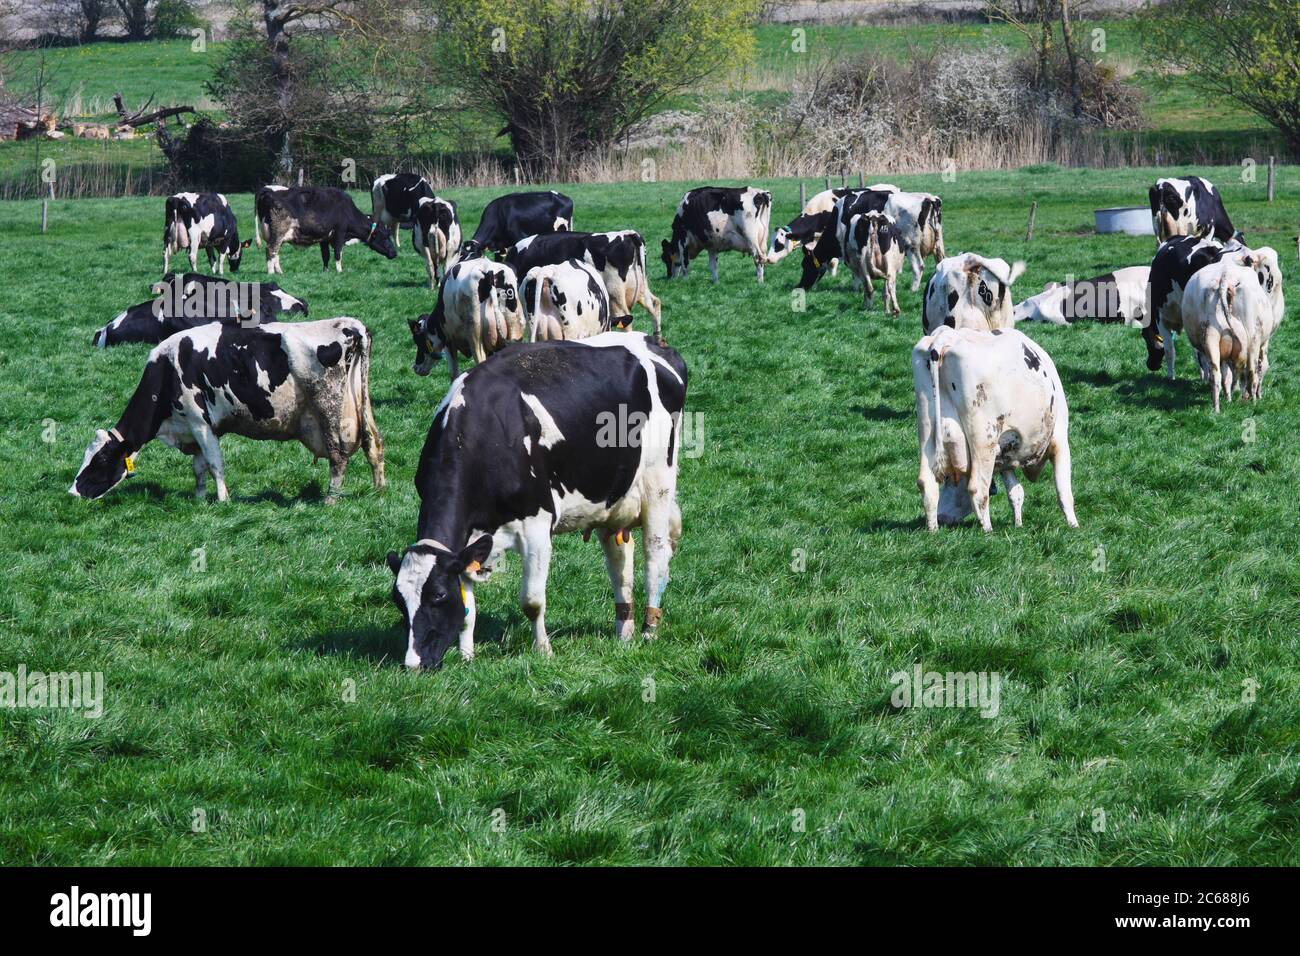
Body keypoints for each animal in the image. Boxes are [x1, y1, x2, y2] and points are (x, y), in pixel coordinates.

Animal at [71, 318, 385, 503]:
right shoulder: (194, 429)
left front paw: (223, 501)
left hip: (328, 410)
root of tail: (350, 325)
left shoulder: (201, 424)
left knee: (338, 455)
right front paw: (199, 499)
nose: (72, 492)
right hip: (362, 406)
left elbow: (214, 465)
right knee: (374, 445)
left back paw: (330, 500)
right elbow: (198, 468)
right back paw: (378, 490)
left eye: (100, 460)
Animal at [255, 186, 397, 274]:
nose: (394, 253)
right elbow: (338, 254)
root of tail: (268, 192)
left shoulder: (324, 237)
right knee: (271, 250)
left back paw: (279, 271)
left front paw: (326, 271)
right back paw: (271, 272)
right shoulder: (339, 234)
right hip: (278, 232)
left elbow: (325, 256)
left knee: (276, 252)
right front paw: (340, 271)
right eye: (385, 236)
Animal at [387, 332, 687, 668]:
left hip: (658, 482)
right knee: (619, 558)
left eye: (437, 595)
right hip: (613, 497)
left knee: (656, 556)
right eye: (398, 601)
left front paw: (543, 650)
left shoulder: (537, 527)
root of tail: (654, 342)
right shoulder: (469, 544)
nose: (413, 664)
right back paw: (624, 629)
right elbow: (466, 610)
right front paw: (467, 656)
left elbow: (531, 601)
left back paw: (649, 630)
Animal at [912, 326, 1077, 532]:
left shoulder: (1005, 452)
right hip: (983, 439)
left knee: (927, 484)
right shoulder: (1059, 439)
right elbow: (1064, 491)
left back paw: (933, 530)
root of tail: (944, 337)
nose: (943, 517)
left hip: (927, 430)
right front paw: (1074, 526)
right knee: (977, 488)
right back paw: (988, 530)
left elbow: (1016, 493)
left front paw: (1018, 524)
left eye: (951, 483)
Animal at [1180, 259, 1277, 411]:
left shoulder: (1224, 355)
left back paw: (1217, 409)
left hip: (1210, 337)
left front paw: (1229, 398)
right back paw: (1253, 401)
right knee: (1251, 371)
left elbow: (1227, 376)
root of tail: (1225, 276)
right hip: (1252, 339)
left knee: (1216, 375)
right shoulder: (1262, 345)